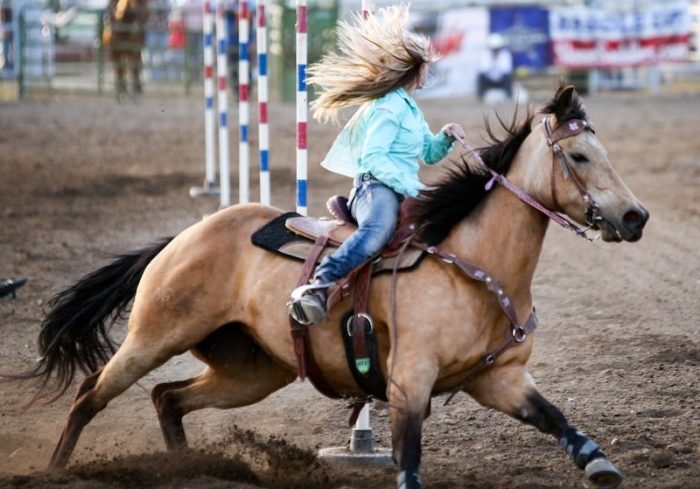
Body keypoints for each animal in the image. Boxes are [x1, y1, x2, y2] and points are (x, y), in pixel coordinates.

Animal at [14, 85, 648, 489]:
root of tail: (185, 236)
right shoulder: (409, 381)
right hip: (154, 335)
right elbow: (408, 457)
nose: (635, 216)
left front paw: (600, 465)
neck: (472, 261)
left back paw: (186, 470)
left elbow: (556, 418)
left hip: (251, 369)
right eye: (579, 155)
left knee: (167, 398)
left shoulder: (501, 379)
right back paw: (55, 470)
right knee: (91, 393)